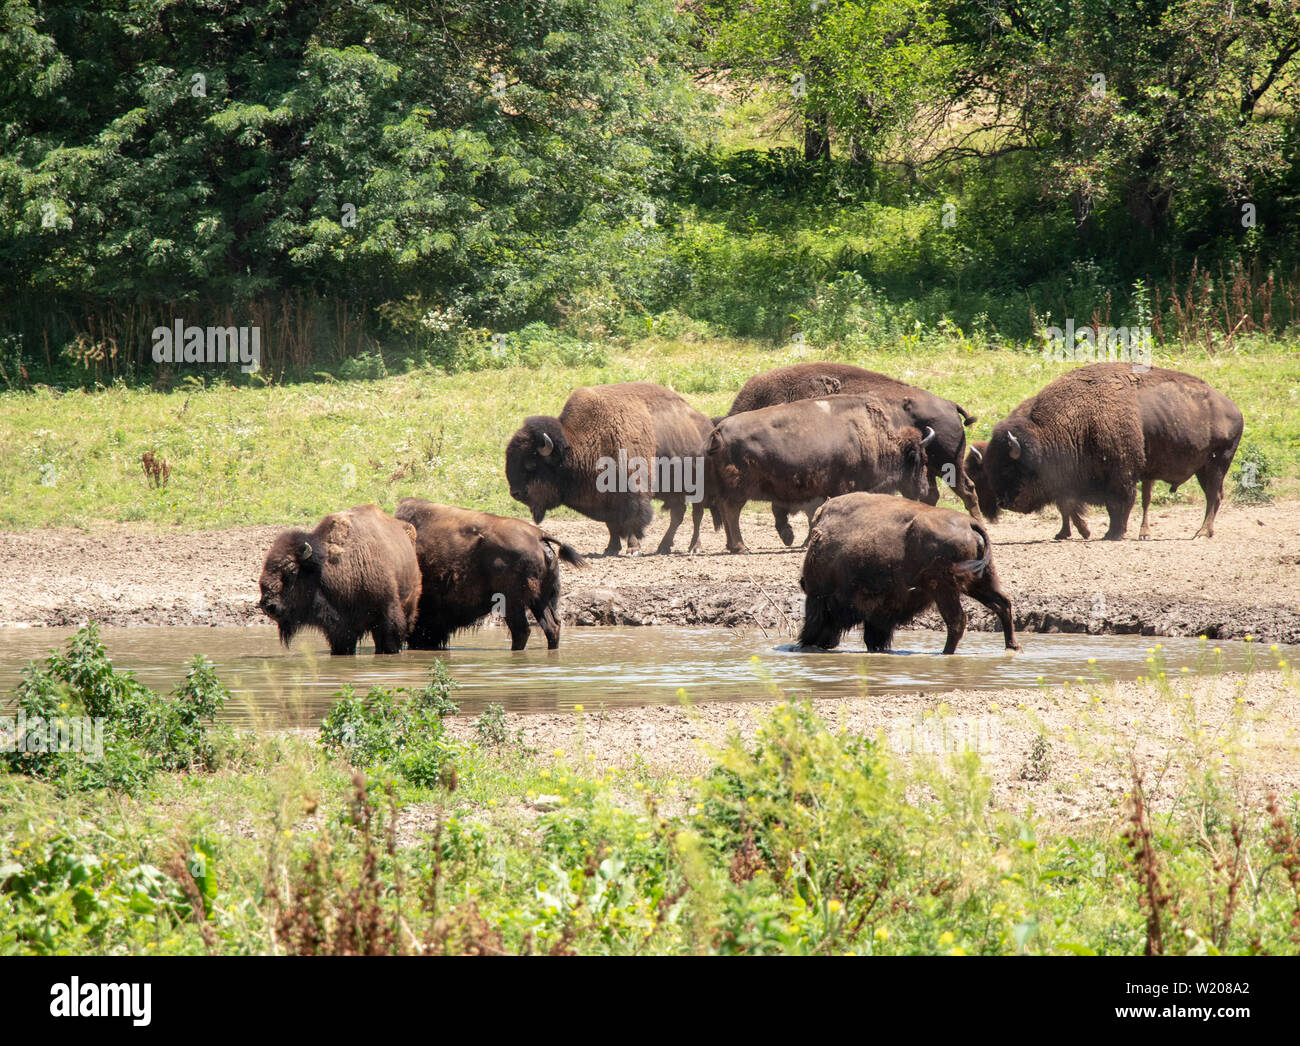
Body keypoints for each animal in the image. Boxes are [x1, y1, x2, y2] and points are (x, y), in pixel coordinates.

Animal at [506, 382, 714, 555]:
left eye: (531, 464)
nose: (515, 493)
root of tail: (707, 425)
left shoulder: (633, 492)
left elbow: (633, 520)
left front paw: (633, 549)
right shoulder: (605, 498)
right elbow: (611, 525)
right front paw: (611, 548)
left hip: (699, 489)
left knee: (696, 516)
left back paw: (694, 547)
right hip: (676, 491)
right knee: (678, 514)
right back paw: (663, 546)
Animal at [704, 394, 933, 554]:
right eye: (922, 460)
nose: (924, 489)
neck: (870, 436)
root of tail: (719, 431)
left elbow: (813, 516)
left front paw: (806, 542)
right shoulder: (843, 488)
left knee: (725, 511)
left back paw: (731, 545)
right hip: (739, 489)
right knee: (732, 511)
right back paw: (741, 547)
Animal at [726, 361, 982, 544]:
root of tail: (949, 405)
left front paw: (793, 537)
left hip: (948, 465)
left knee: (966, 489)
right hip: (931, 469)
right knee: (935, 494)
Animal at [798, 493, 1020, 655]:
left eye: (816, 608)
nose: (809, 641)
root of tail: (970, 524)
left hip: (945, 589)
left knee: (957, 620)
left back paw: (945, 652)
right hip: (981, 581)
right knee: (1003, 604)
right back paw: (1012, 646)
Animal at [978, 364, 1244, 540]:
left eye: (1009, 467)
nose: (1004, 501)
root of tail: (1235, 409)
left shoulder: (1122, 474)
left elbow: (1119, 504)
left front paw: (1113, 534)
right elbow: (1082, 504)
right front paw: (1092, 532)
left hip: (1216, 464)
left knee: (1214, 496)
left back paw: (1201, 533)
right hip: (1204, 468)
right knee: (1213, 496)